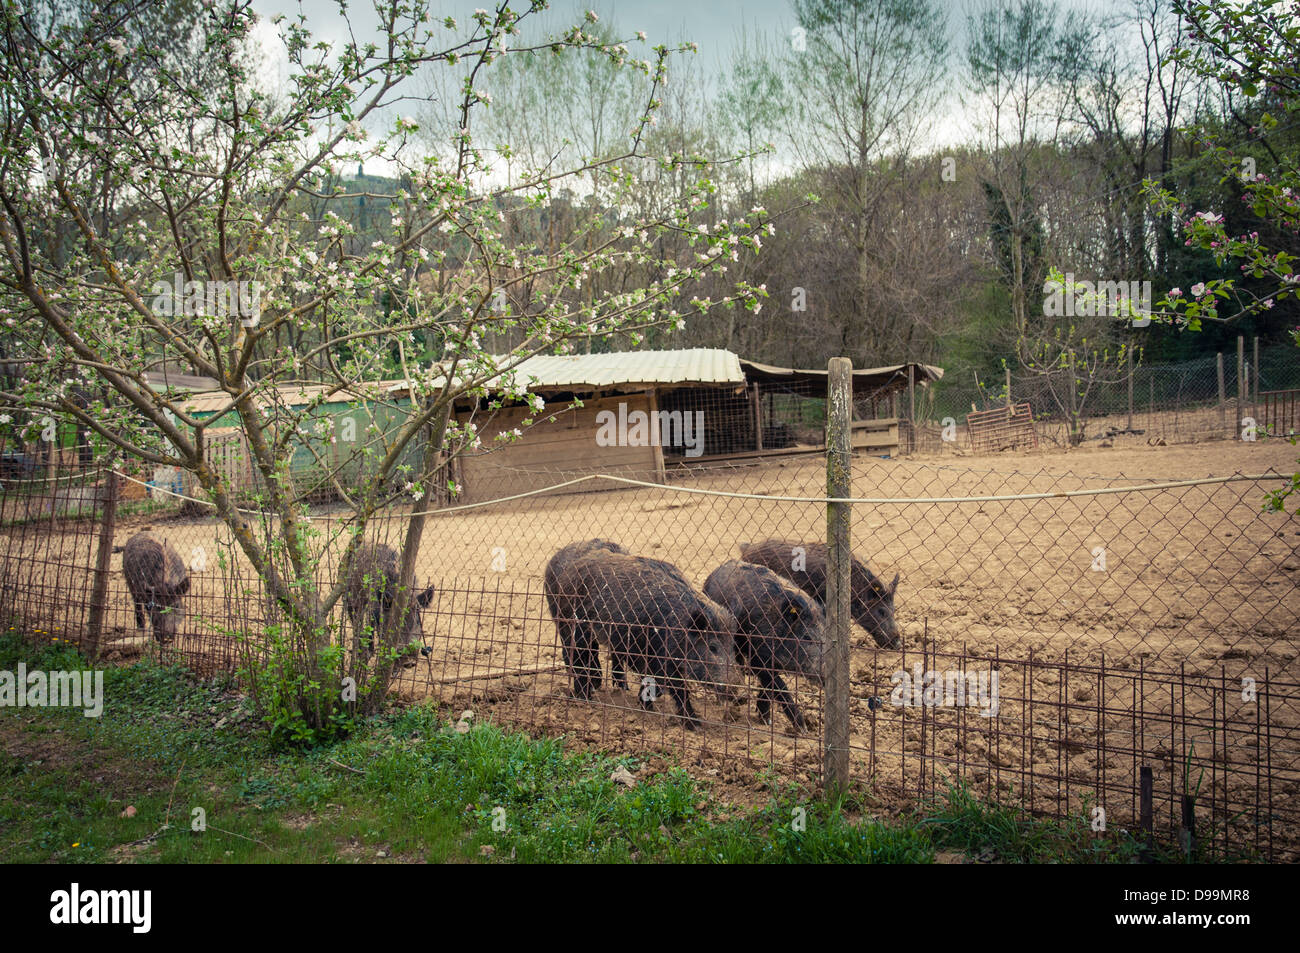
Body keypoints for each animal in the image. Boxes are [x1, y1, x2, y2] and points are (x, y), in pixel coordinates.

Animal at [547, 550, 741, 728]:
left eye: (732, 647)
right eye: (712, 647)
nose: (736, 691)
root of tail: (567, 572)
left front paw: (645, 706)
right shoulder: (661, 658)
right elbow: (678, 689)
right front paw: (695, 724)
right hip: (570, 625)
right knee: (576, 658)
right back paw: (586, 698)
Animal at [704, 559, 826, 732]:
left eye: (826, 636)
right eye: (807, 637)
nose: (825, 674)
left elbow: (768, 687)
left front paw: (765, 720)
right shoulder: (758, 656)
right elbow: (779, 686)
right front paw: (802, 729)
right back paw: (725, 701)